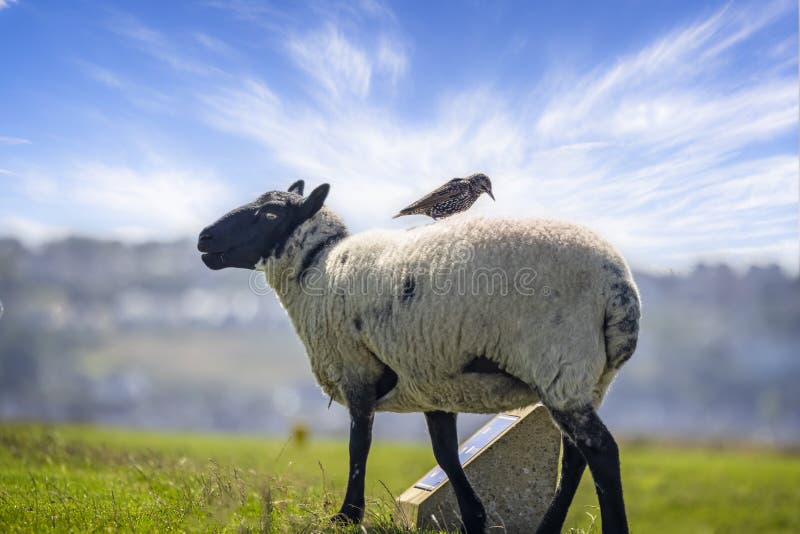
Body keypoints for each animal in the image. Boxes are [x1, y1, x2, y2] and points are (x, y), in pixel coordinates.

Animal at [197, 180, 641, 534]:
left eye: (270, 213)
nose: (203, 238)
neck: (317, 268)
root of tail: (619, 285)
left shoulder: (357, 369)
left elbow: (359, 446)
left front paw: (347, 516)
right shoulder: (429, 380)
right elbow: (445, 455)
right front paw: (474, 518)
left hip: (560, 362)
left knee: (601, 452)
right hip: (585, 378)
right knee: (575, 459)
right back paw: (547, 528)